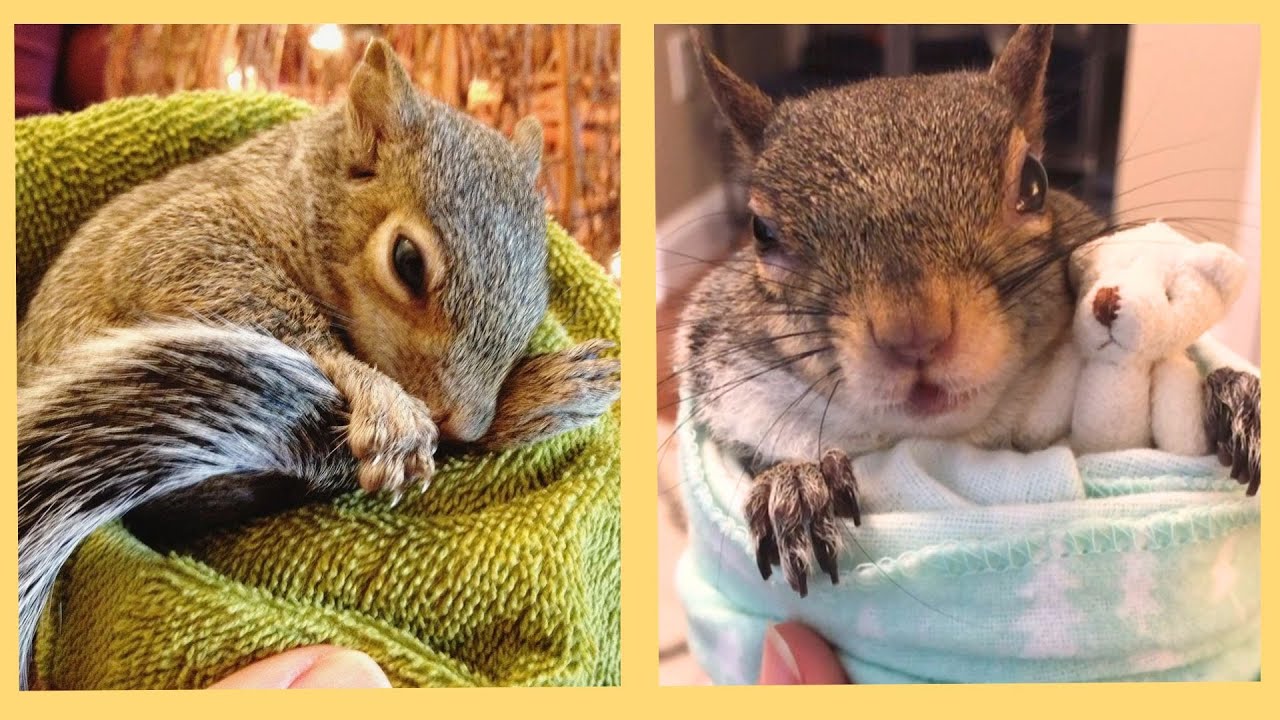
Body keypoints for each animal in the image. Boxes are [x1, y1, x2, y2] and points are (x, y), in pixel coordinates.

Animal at [17, 39, 620, 689]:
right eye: (407, 260)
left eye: (542, 292)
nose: (465, 422)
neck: (302, 186)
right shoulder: (184, 234)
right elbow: (191, 267)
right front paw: (383, 398)